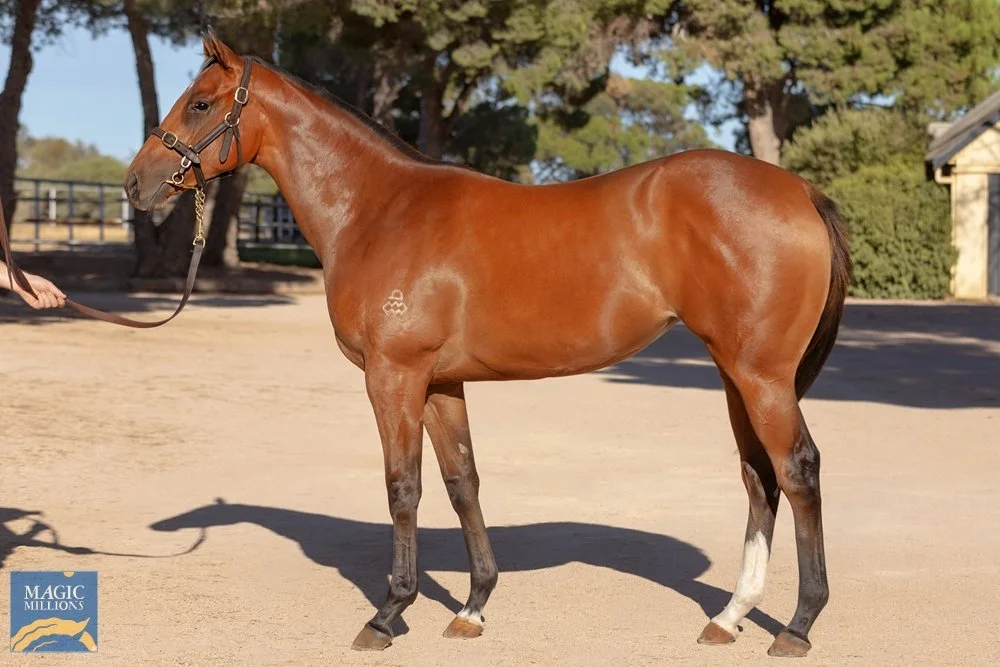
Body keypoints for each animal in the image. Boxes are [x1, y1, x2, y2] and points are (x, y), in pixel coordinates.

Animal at [124, 31, 850, 658]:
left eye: (200, 102)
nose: (136, 183)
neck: (379, 209)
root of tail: (802, 191)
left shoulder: (393, 376)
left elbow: (403, 487)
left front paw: (389, 613)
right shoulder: (441, 382)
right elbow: (461, 482)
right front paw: (472, 607)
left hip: (761, 376)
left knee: (798, 469)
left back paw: (797, 624)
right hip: (735, 373)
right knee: (758, 477)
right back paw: (729, 616)